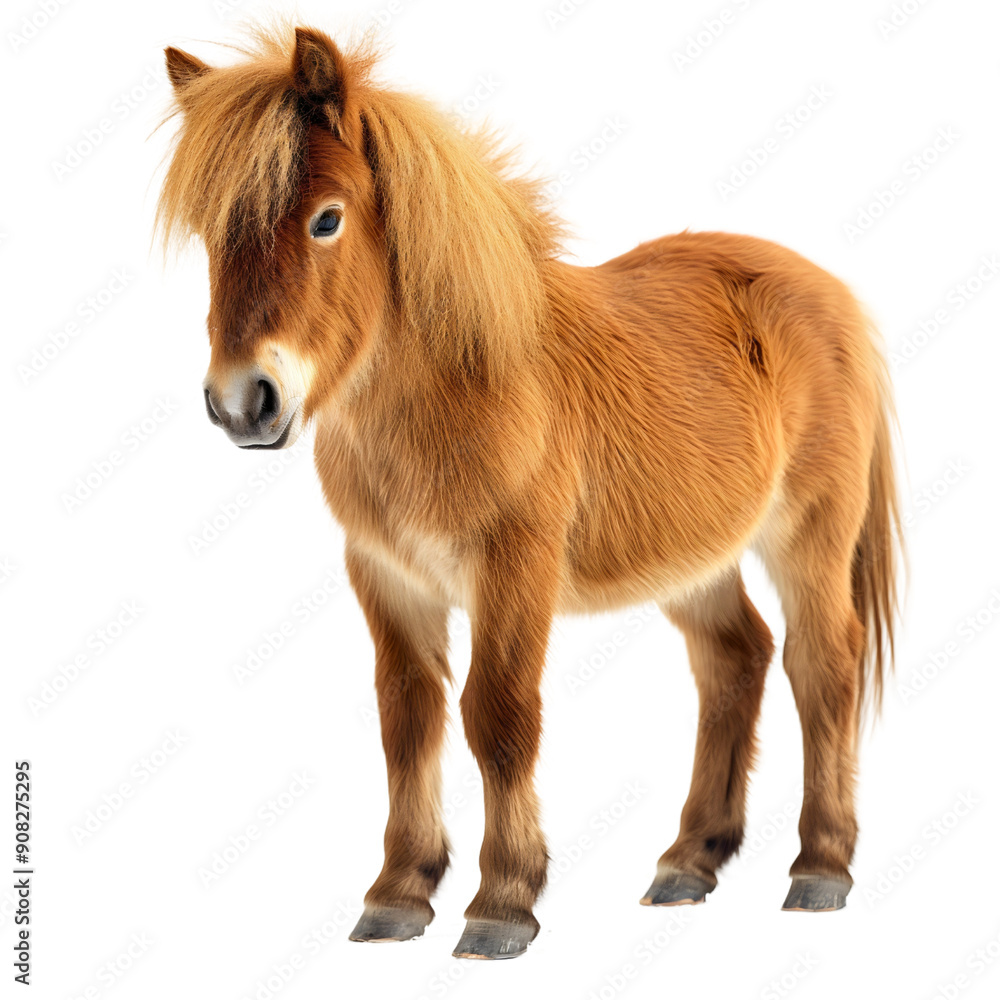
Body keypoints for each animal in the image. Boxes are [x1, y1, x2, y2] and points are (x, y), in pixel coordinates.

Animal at [158, 24, 902, 960]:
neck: (455, 393)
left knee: (823, 664)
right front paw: (399, 893)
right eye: (209, 234)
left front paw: (502, 903)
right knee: (735, 659)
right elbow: (407, 718)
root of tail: (828, 291)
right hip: (692, 557)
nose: (241, 403)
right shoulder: (385, 573)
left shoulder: (515, 566)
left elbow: (499, 715)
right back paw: (689, 861)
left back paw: (821, 867)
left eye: (326, 218)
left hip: (810, 534)